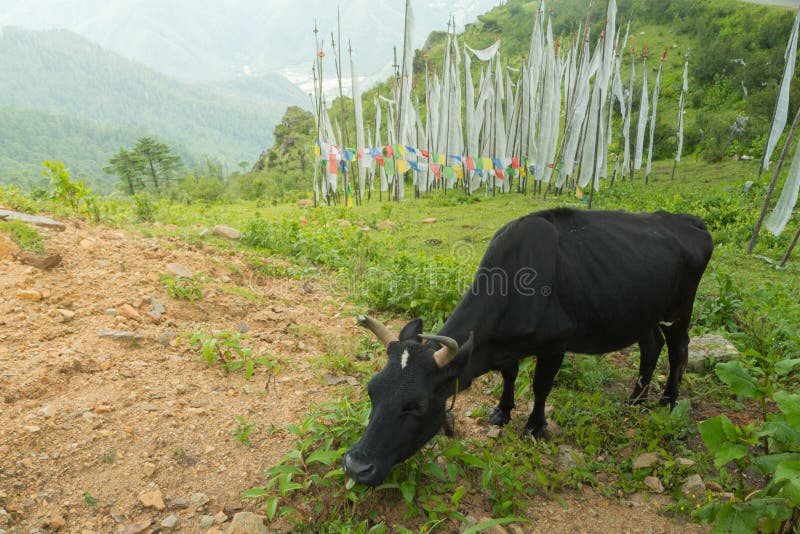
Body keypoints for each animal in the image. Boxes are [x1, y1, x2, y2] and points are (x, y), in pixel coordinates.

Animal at [342, 207, 714, 487]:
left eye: (417, 405)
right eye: (372, 391)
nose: (355, 466)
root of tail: (689, 221)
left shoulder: (555, 345)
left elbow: (540, 386)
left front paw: (534, 426)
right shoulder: (507, 348)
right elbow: (509, 376)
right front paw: (502, 412)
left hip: (680, 311)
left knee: (679, 349)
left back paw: (667, 401)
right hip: (642, 314)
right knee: (651, 345)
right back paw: (636, 399)